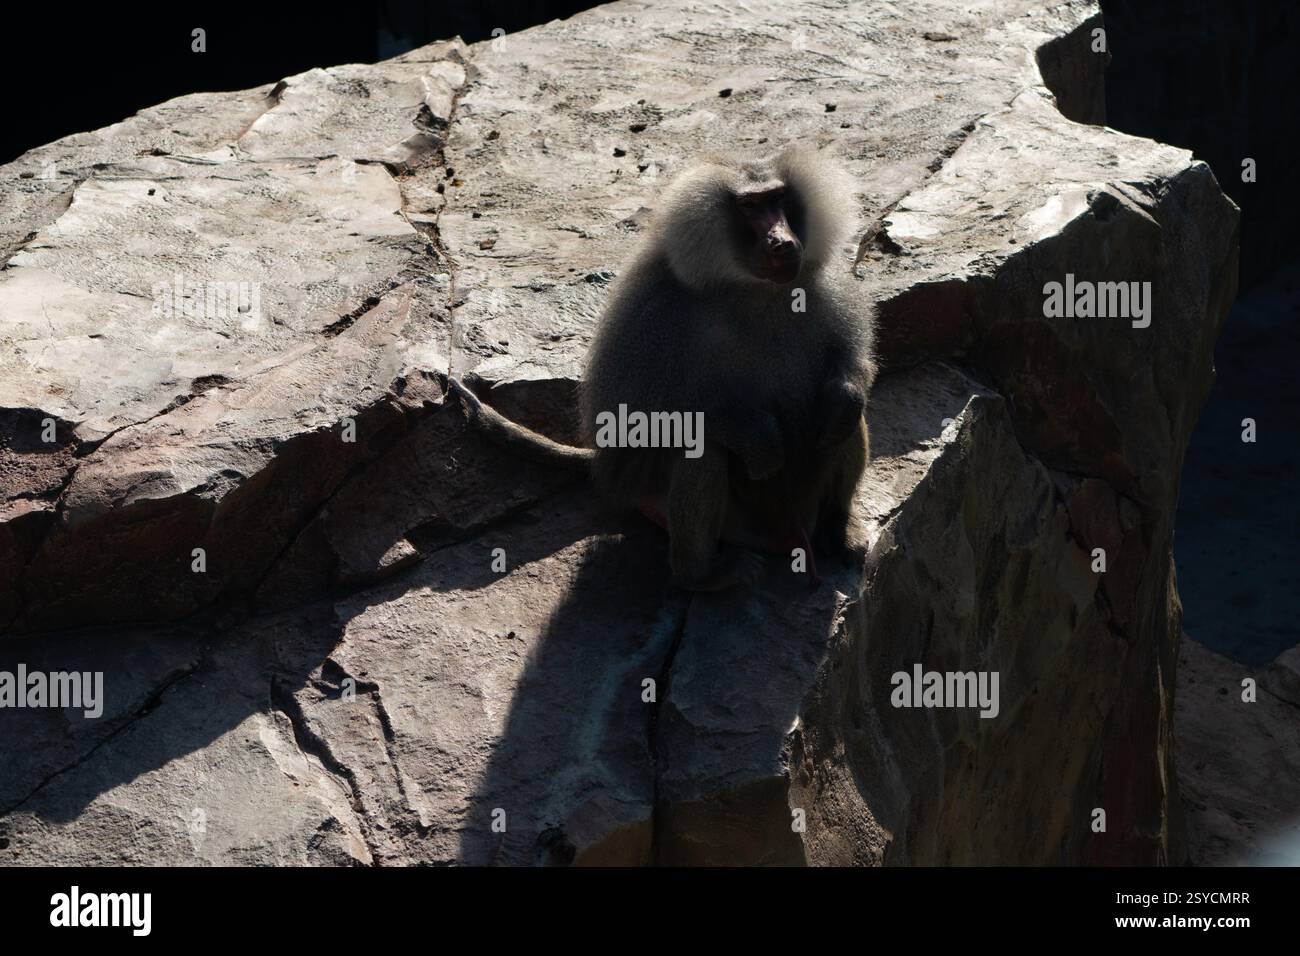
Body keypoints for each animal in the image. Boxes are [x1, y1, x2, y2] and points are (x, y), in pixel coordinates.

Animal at [451, 145, 876, 591]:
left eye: (778, 198)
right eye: (750, 206)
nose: (782, 242)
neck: (750, 288)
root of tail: (788, 535)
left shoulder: (824, 289)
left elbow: (849, 372)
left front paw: (845, 391)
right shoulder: (647, 310)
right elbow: (635, 423)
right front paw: (756, 436)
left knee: (842, 417)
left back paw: (838, 528)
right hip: (719, 520)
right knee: (704, 444)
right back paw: (705, 574)